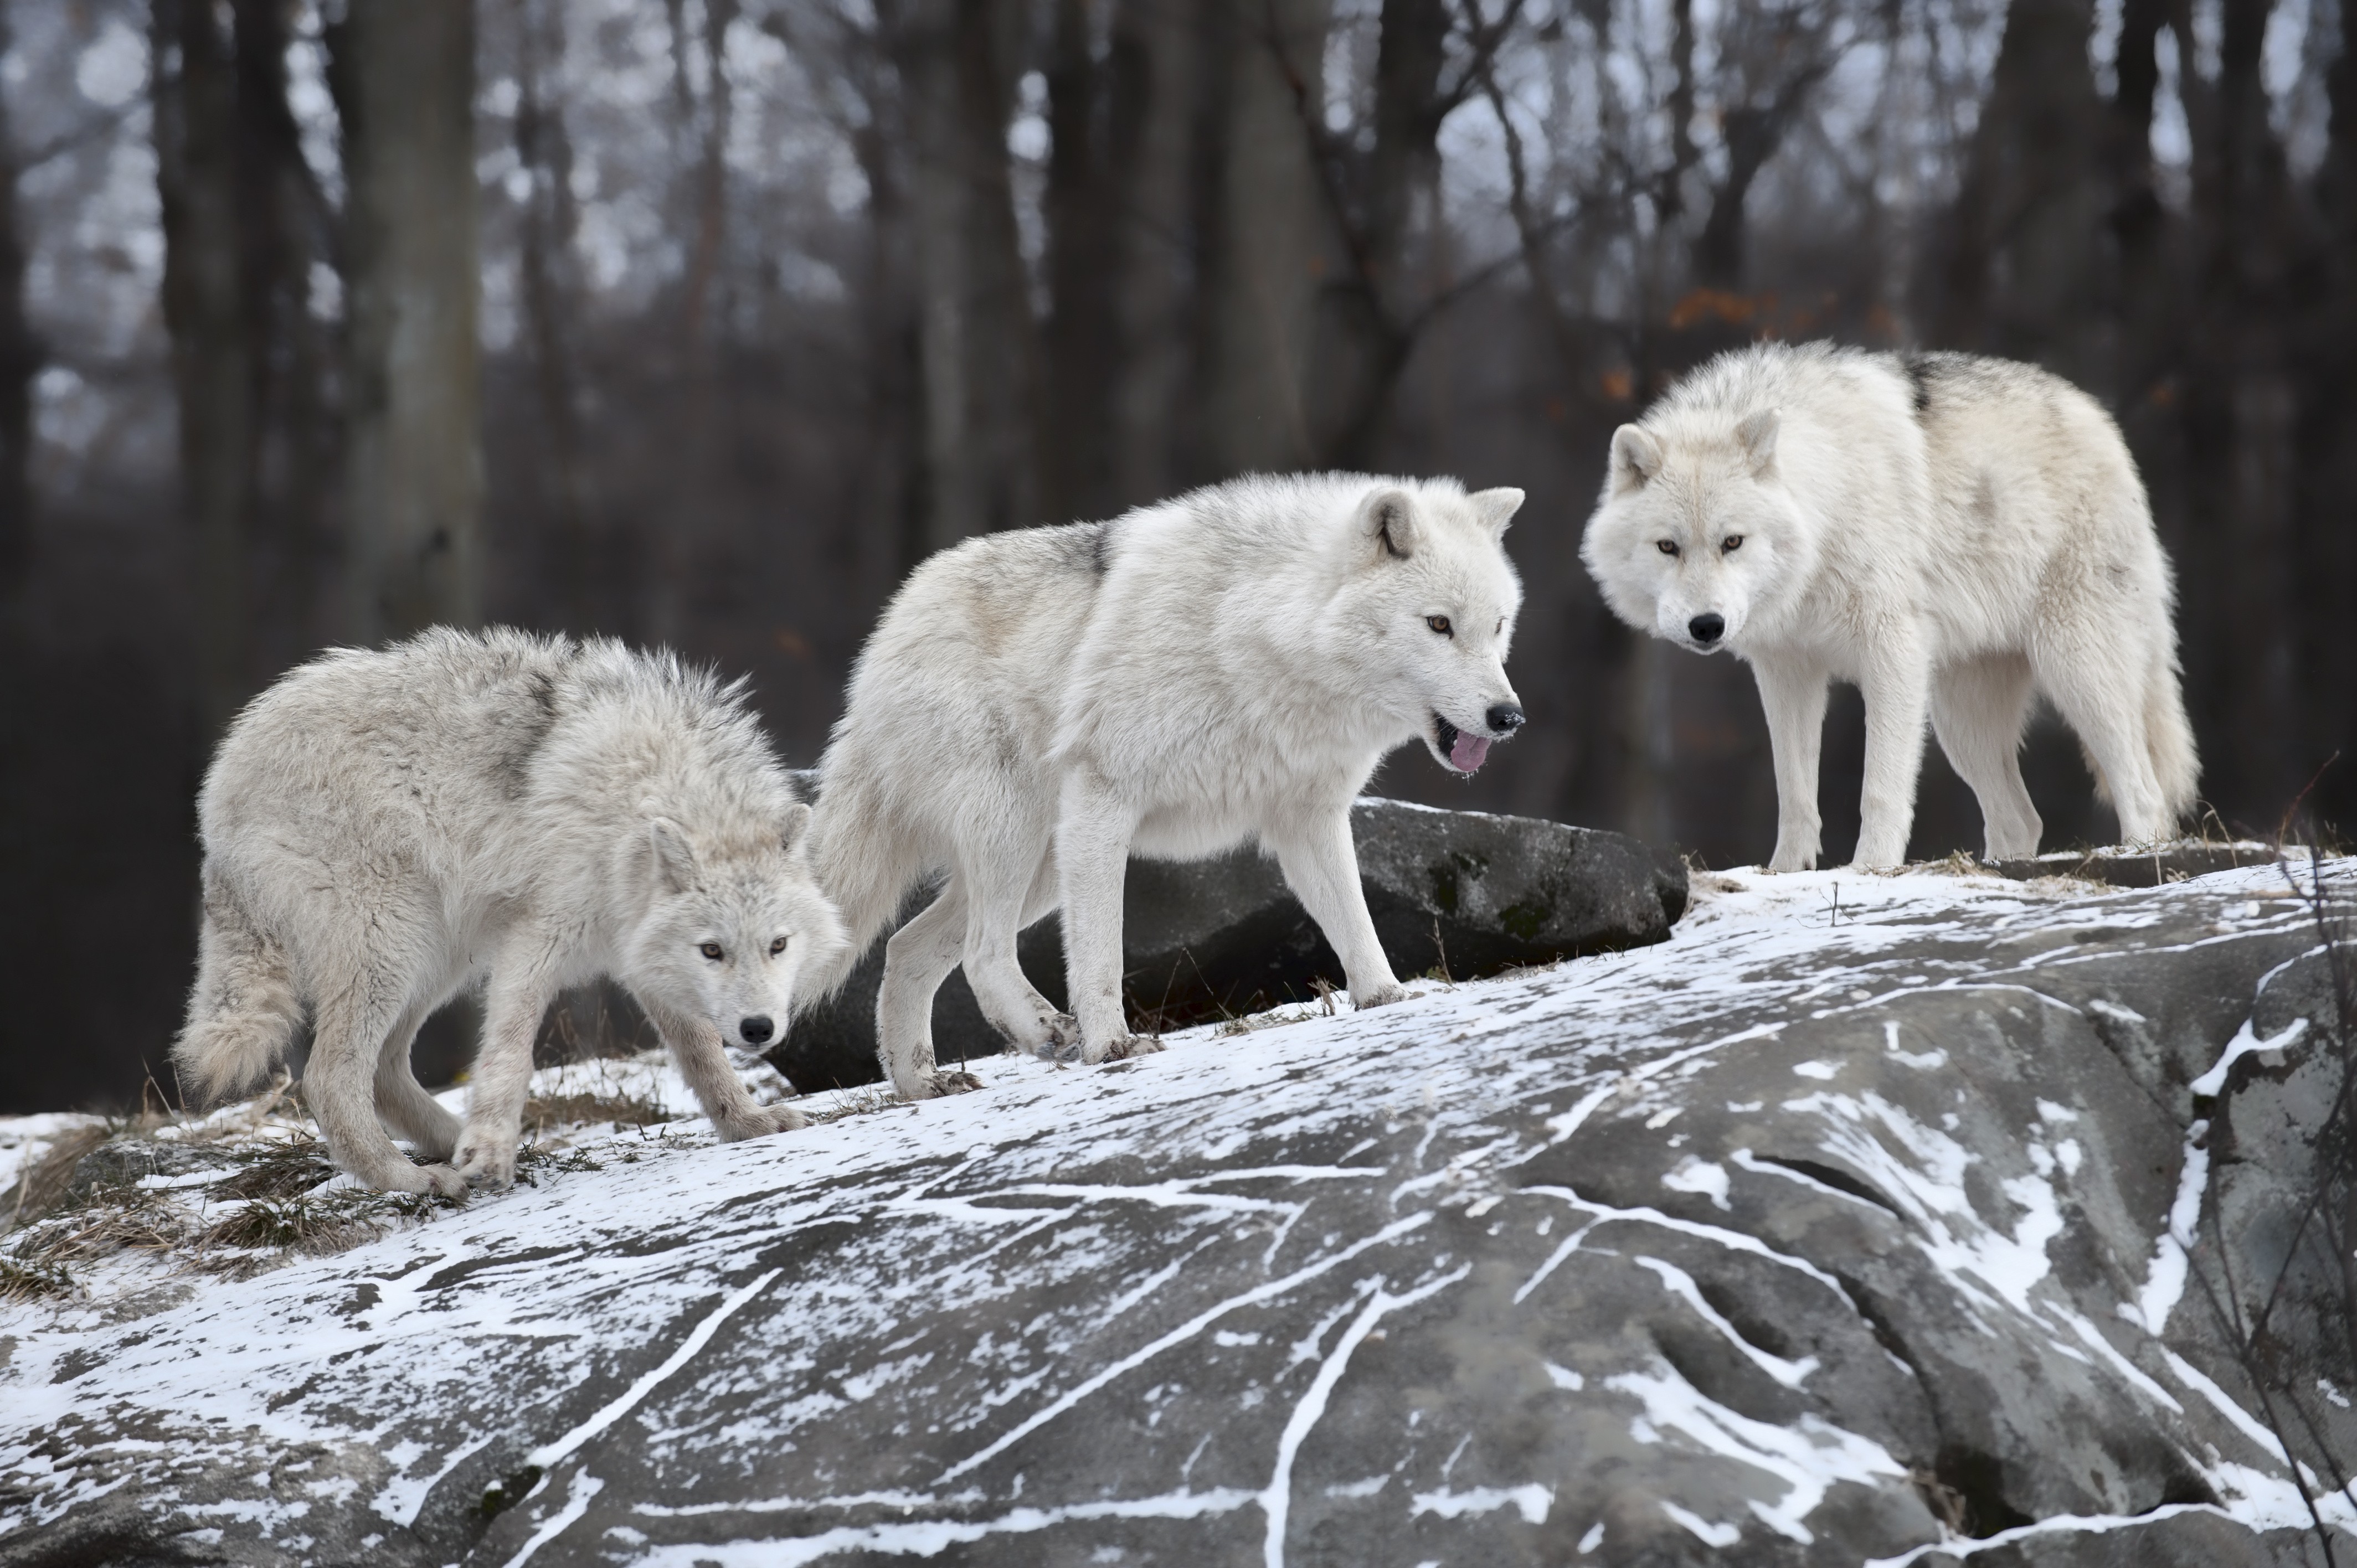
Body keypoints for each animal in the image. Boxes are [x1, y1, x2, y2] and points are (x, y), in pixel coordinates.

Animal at [174, 628, 848, 1196]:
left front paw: (747, 1123)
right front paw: (490, 1150)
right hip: (395, 945)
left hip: (438, 956)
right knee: (330, 1080)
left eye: (778, 946)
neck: (637, 798)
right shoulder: (536, 937)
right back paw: (413, 1179)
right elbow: (510, 1052)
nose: (759, 1029)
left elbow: (702, 1053)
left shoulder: (639, 953)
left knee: (385, 1073)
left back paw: (460, 1147)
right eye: (713, 950)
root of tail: (219, 783)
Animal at [805, 473, 1526, 1100]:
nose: (1508, 717)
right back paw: (1045, 1033)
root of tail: (889, 628)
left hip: (1042, 864)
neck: (1255, 636)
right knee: (983, 952)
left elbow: (1354, 922)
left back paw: (921, 1083)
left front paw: (1385, 1000)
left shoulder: (1307, 819)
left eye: (1496, 626)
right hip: (1018, 835)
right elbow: (1101, 951)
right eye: (1438, 624)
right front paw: (1111, 1046)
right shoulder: (1104, 799)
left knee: (905, 947)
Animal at [1581, 342, 2196, 870]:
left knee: (2143, 791)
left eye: (1732, 542)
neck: (1825, 509)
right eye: (1668, 547)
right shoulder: (1786, 671)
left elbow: (1878, 788)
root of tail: (2100, 420)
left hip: (2074, 671)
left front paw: (1870, 869)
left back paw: (2138, 855)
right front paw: (1785, 873)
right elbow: (1794, 794)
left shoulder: (1891, 653)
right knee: (2021, 820)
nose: (1706, 626)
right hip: (1960, 722)